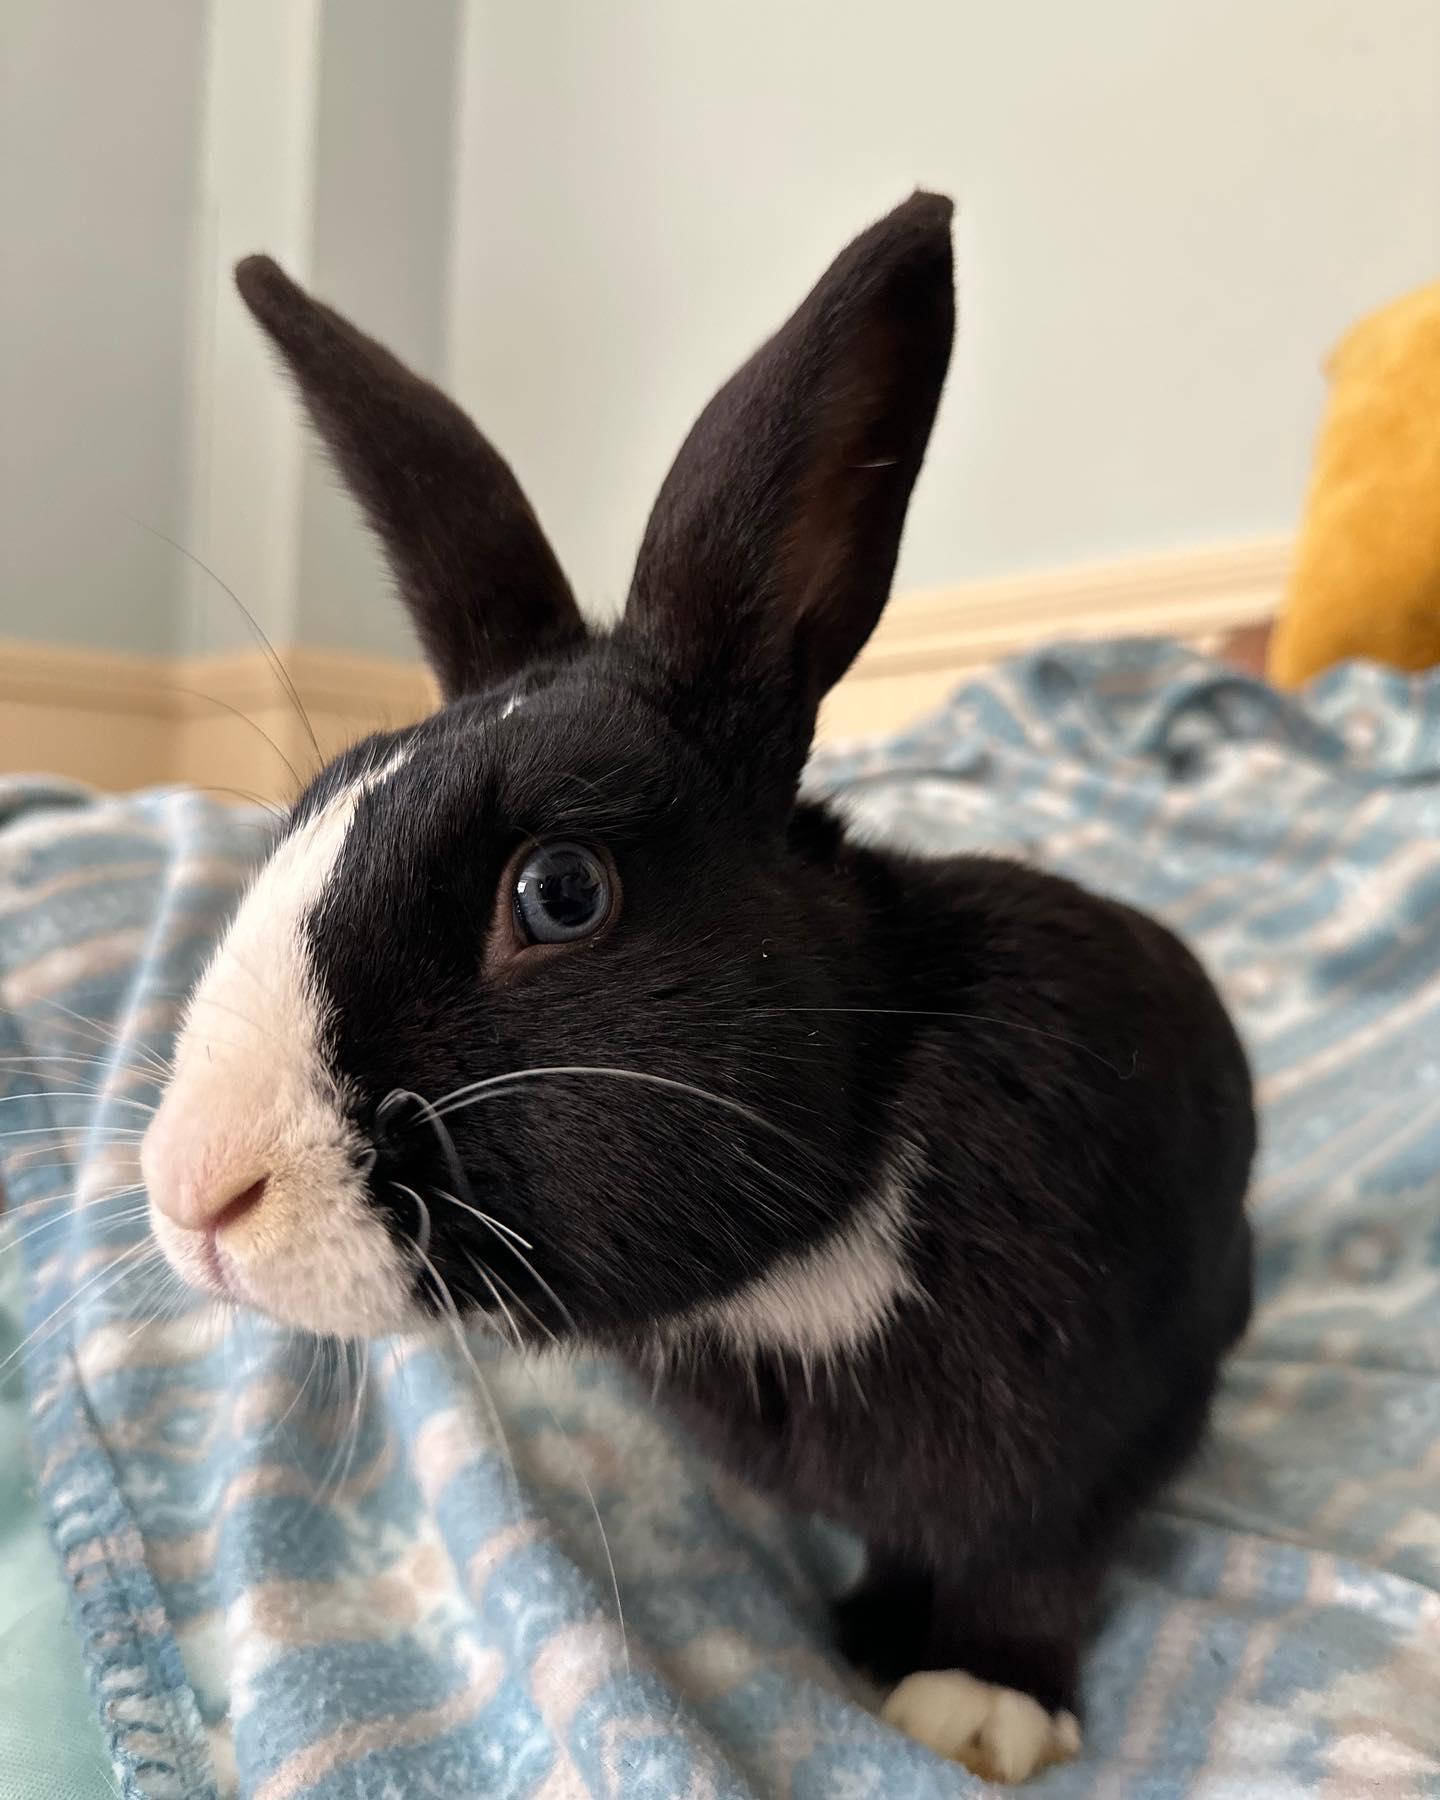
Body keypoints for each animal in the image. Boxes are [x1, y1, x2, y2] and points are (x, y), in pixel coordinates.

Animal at [141, 192, 1256, 1785]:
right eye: (308, 809)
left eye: (560, 893)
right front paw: (868, 1631)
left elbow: (1036, 1559)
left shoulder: (1087, 1437)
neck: (805, 1243)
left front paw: (977, 1706)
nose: (195, 1198)